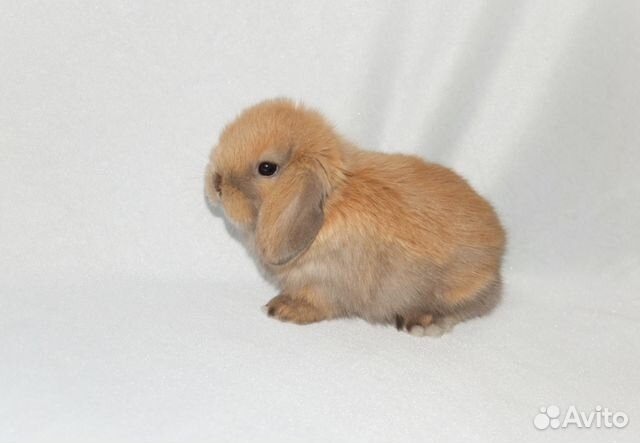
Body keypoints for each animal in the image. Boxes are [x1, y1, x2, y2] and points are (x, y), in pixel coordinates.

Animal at [204, 98, 506, 336]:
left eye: (267, 168)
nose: (216, 183)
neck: (331, 203)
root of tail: (499, 254)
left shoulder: (325, 285)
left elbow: (320, 304)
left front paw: (283, 309)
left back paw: (422, 322)